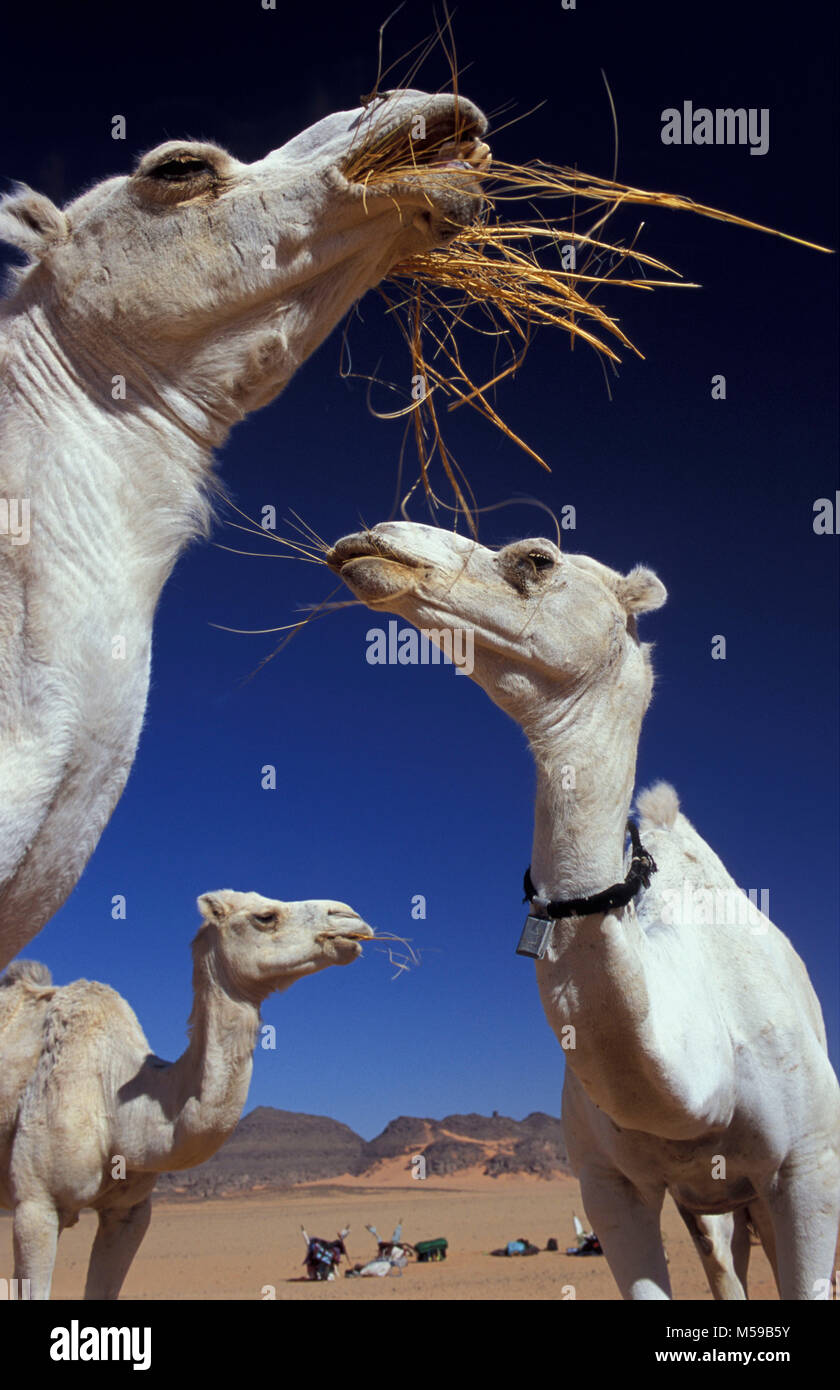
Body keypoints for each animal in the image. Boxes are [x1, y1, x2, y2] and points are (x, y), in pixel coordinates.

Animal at [327, 521, 840, 1300]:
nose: (376, 541)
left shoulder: (808, 1169)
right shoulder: (608, 1186)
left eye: (537, 560)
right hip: (718, 1204)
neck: (702, 1076)